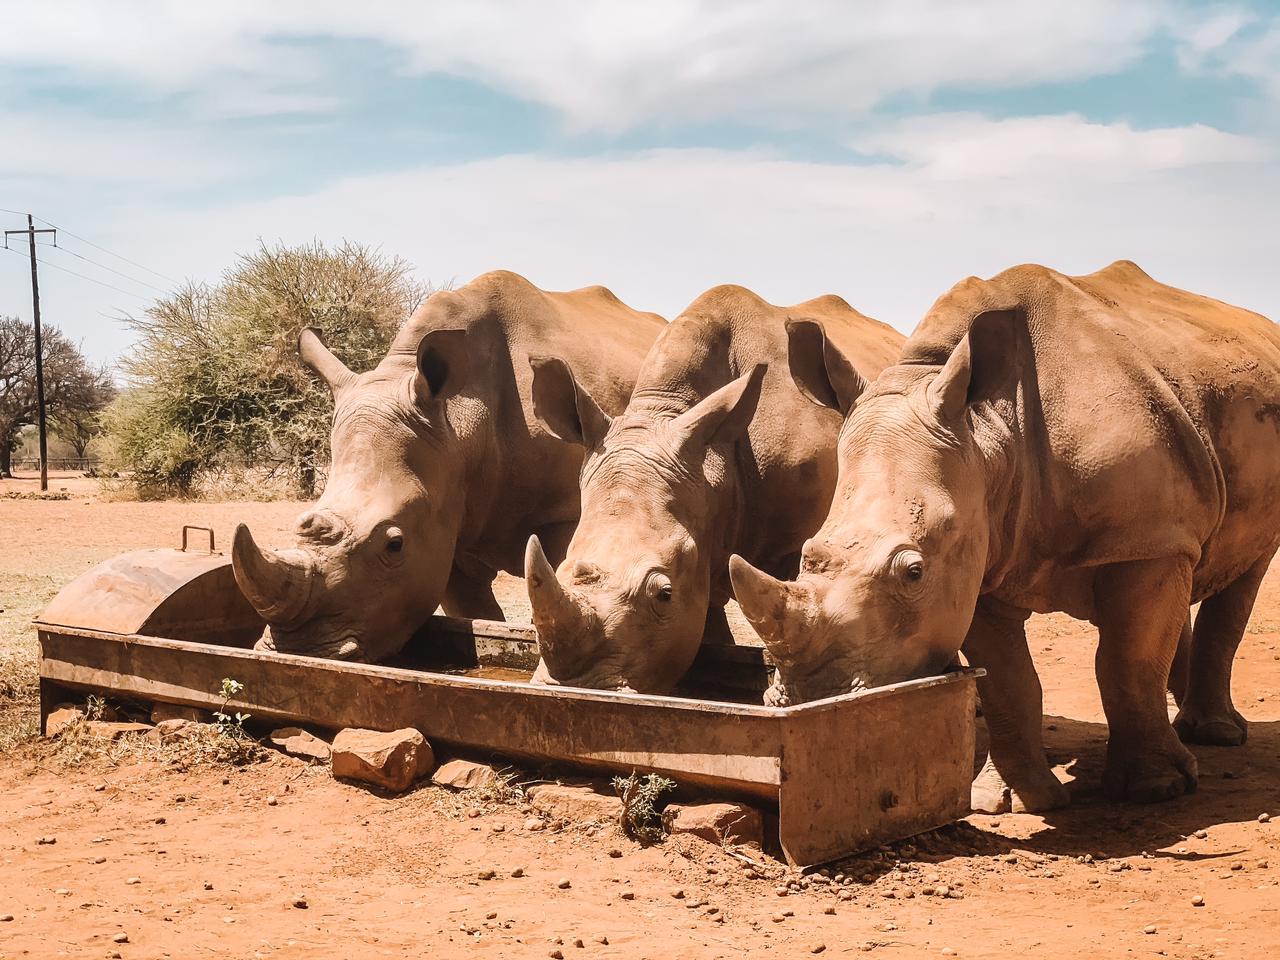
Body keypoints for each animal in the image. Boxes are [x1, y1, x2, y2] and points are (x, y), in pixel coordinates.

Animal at [232, 270, 665, 661]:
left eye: (394, 544)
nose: (298, 651)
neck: (459, 424)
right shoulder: (446, 516)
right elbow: (477, 614)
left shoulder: (563, 511)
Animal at [730, 260, 1280, 810]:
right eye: (808, 554)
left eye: (913, 572)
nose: (807, 697)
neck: (989, 431)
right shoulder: (974, 558)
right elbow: (1008, 682)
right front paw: (1014, 799)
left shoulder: (1137, 541)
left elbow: (1128, 661)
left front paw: (1155, 789)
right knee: (1191, 562)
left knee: (1242, 573)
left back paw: (1214, 736)